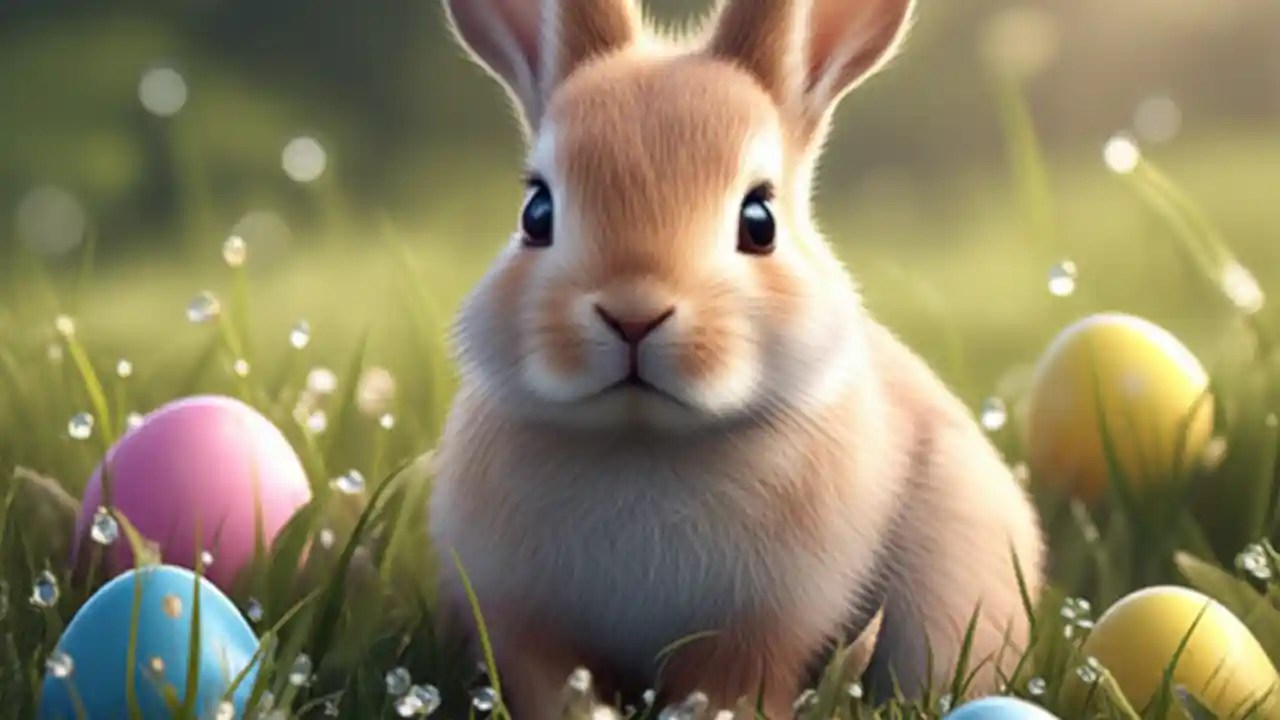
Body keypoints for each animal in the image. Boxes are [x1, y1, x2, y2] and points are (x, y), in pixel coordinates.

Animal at [428, 0, 1046, 717]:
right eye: (536, 212)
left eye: (759, 221)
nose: (633, 313)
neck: (642, 440)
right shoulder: (522, 625)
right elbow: (551, 686)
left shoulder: (762, 627)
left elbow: (735, 686)